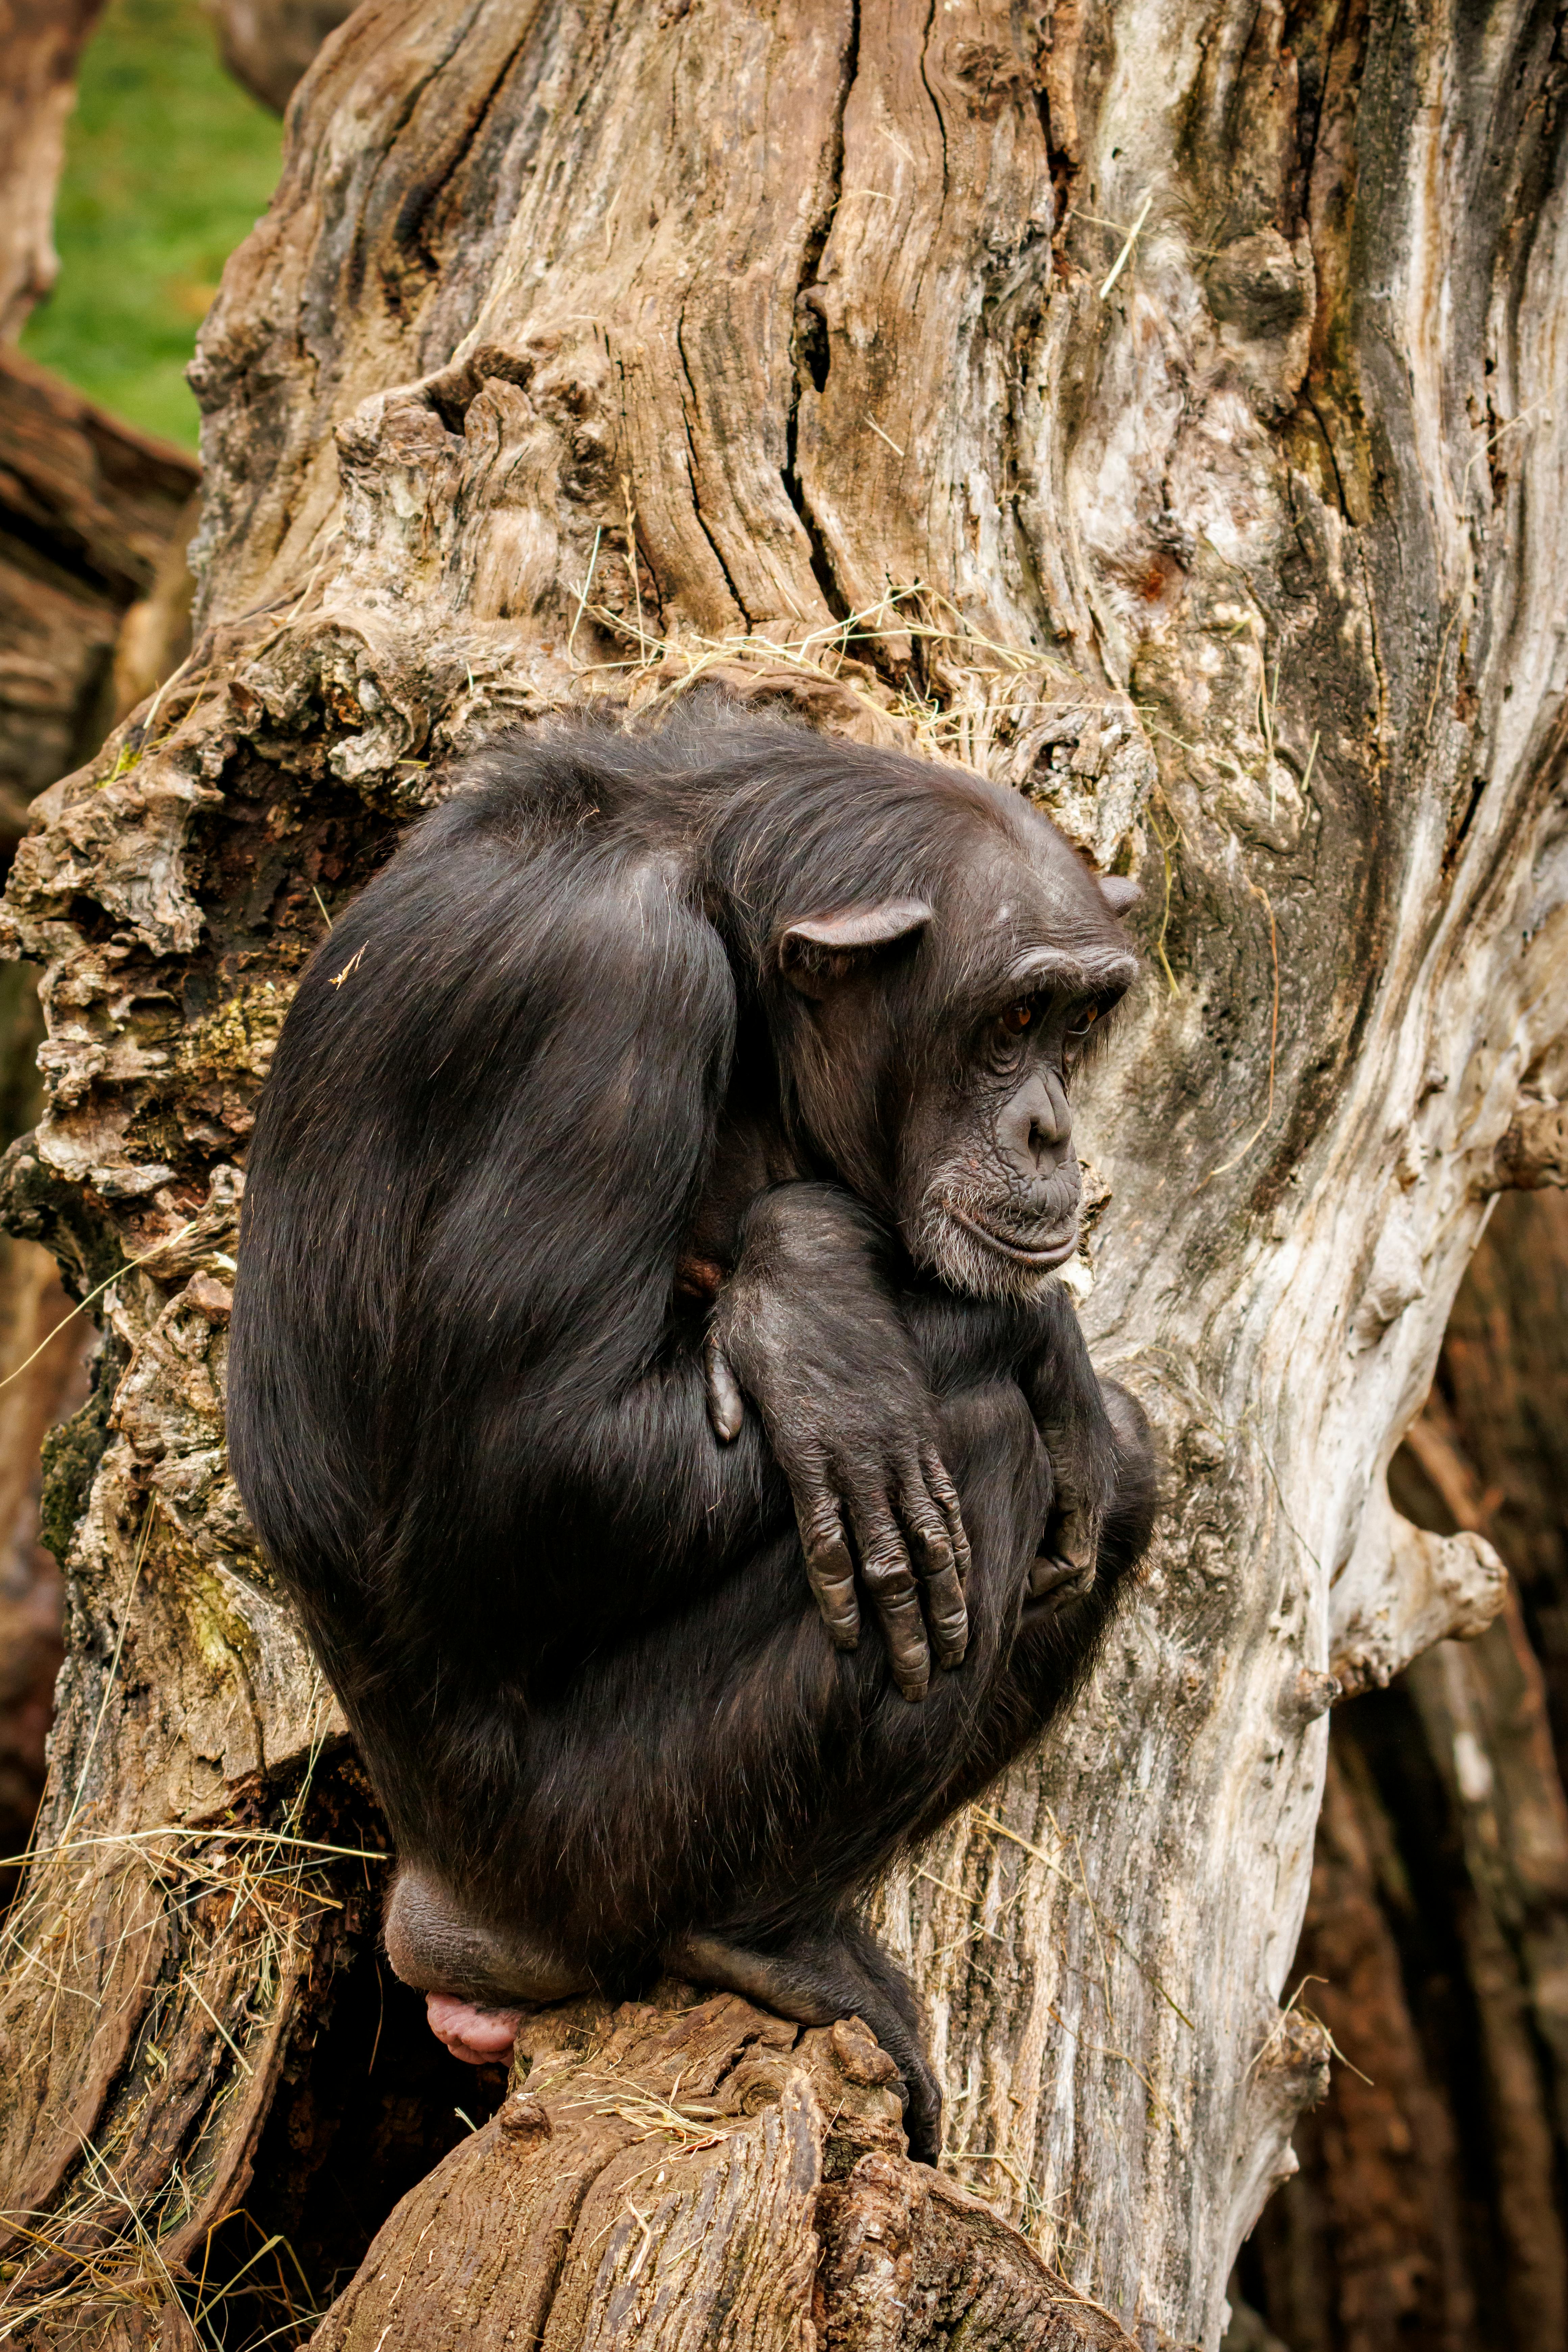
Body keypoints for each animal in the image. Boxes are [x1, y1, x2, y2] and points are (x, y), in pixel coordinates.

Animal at [226, 706, 1157, 2162]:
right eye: (1011, 1019)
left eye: (1079, 1020)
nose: (1052, 1126)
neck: (720, 911)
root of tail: (456, 1926)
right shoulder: (609, 999)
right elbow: (531, 1471)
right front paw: (841, 1320)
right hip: (592, 1842)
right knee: (986, 1453)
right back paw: (760, 1938)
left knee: (1109, 1472)